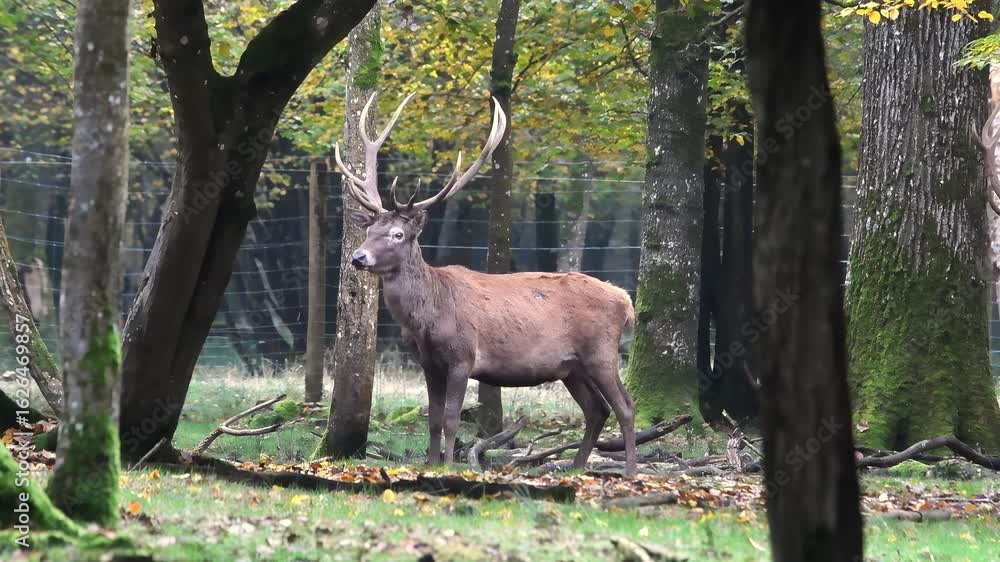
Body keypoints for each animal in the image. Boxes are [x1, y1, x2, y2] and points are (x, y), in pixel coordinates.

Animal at [333, 92, 638, 476]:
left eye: (398, 234)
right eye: (370, 229)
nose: (358, 257)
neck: (426, 320)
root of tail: (626, 300)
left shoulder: (462, 356)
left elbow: (451, 419)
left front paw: (450, 466)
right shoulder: (427, 362)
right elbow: (433, 419)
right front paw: (431, 464)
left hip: (601, 351)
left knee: (625, 406)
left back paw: (629, 471)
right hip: (572, 367)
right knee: (596, 409)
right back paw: (576, 468)